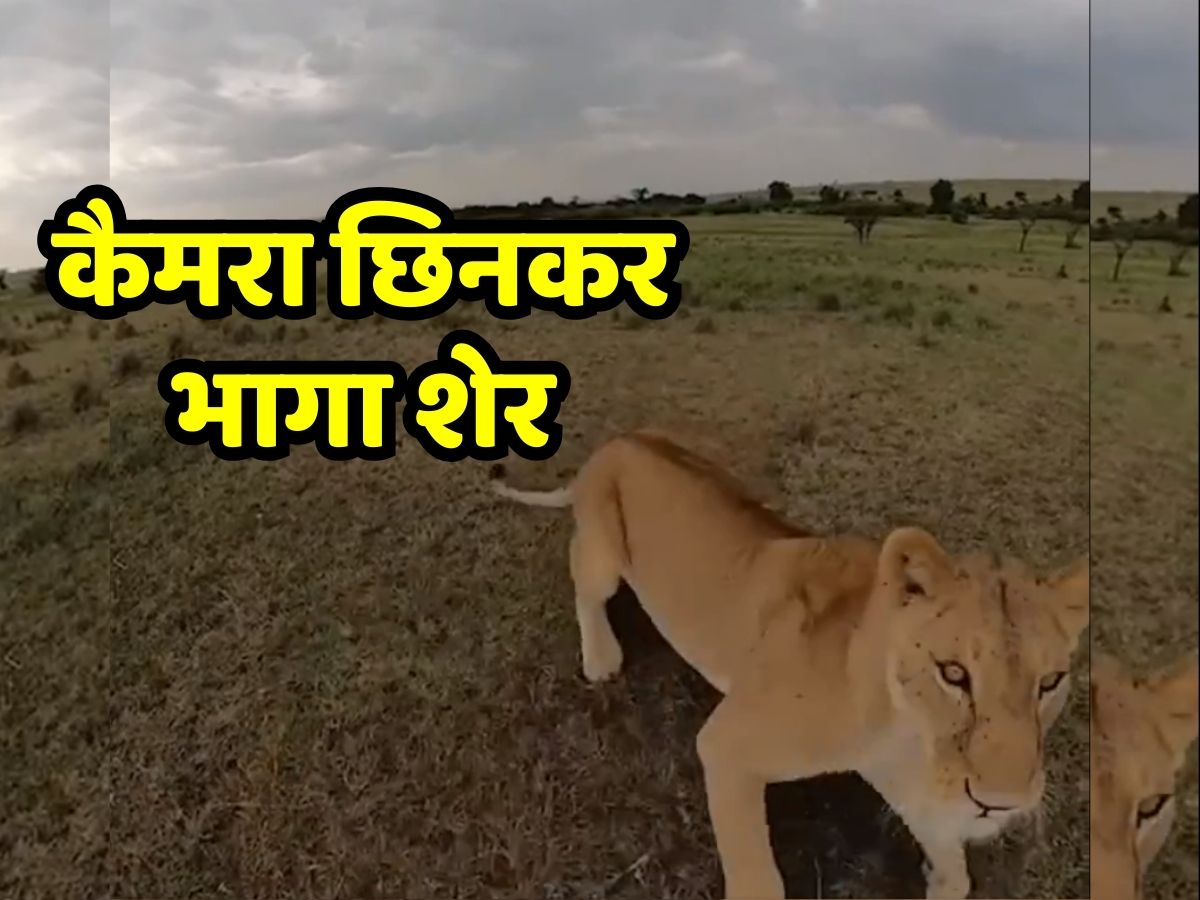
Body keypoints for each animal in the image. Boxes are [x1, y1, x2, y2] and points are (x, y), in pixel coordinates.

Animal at [490, 431, 1088, 899]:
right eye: (954, 673)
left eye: (1050, 682)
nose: (1001, 804)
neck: (897, 723)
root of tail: (614, 443)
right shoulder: (726, 745)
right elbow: (758, 876)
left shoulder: (894, 768)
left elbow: (948, 854)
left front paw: (944, 879)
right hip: (604, 554)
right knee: (583, 578)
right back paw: (601, 655)